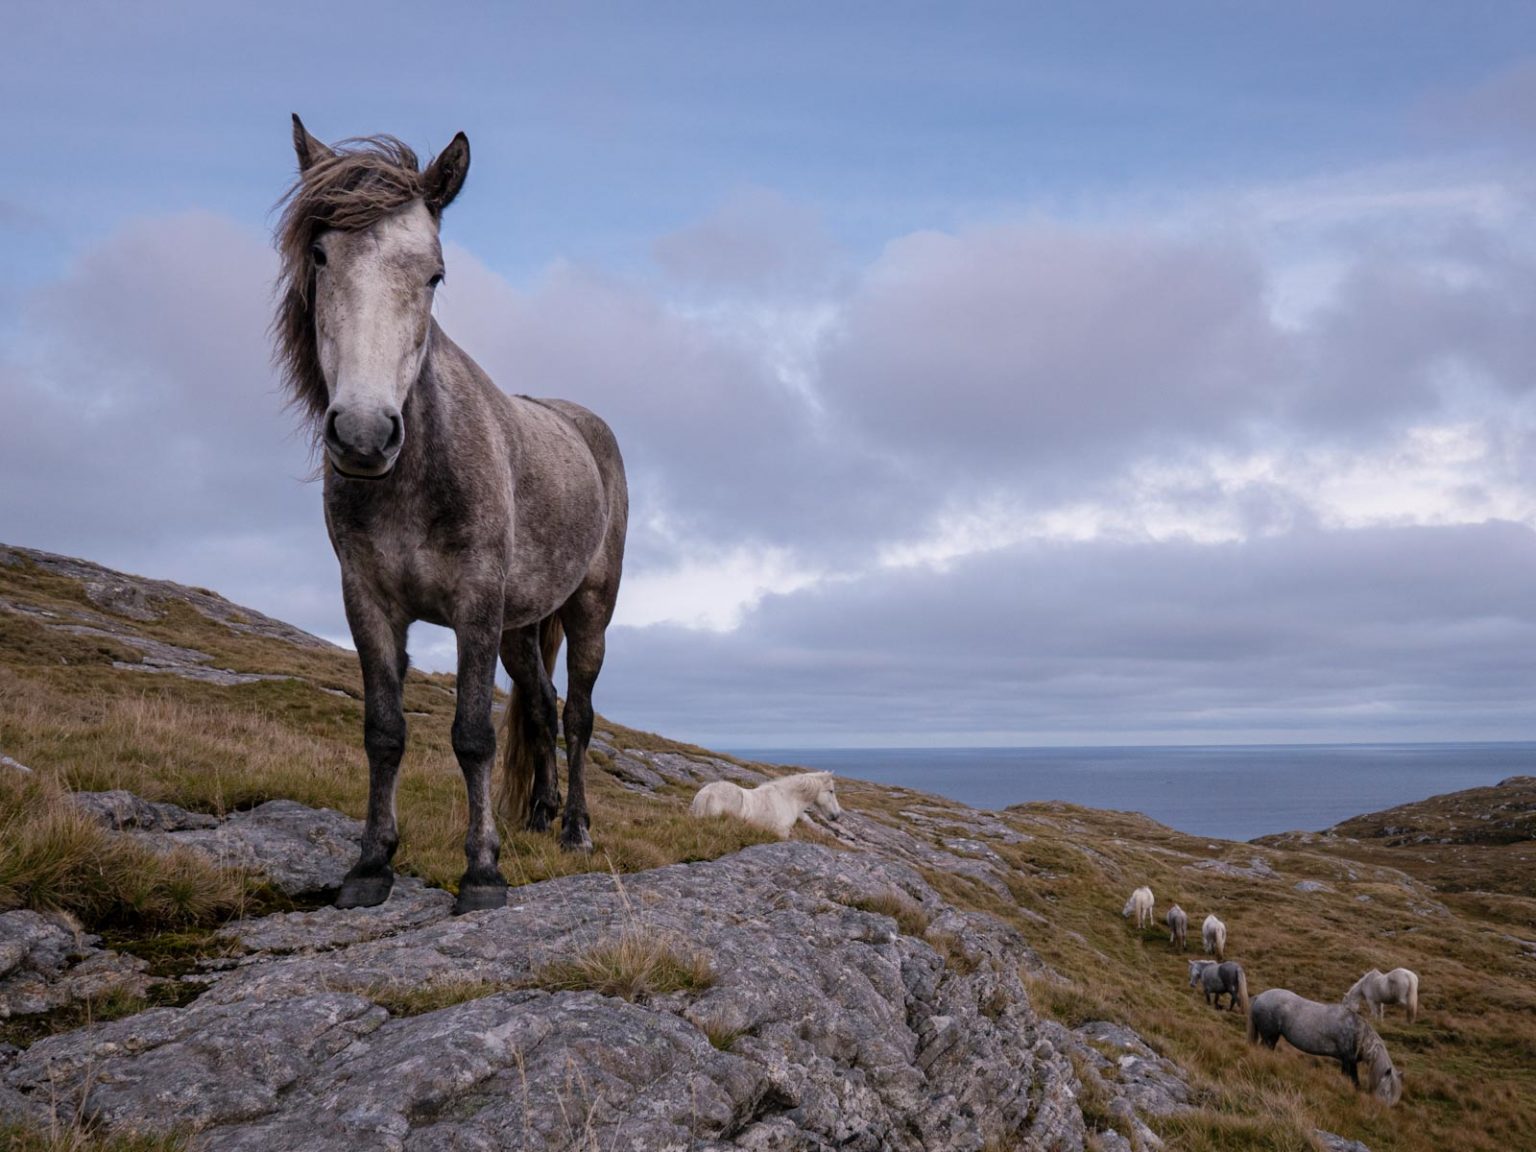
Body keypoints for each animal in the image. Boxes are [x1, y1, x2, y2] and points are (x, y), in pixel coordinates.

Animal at [274, 119, 627, 914]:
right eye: (320, 254)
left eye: (434, 274)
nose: (364, 434)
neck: (418, 475)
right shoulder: (369, 602)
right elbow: (384, 731)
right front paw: (371, 863)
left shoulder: (474, 604)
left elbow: (472, 735)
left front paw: (483, 871)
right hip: (522, 627)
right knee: (539, 705)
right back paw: (538, 815)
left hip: (589, 609)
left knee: (576, 714)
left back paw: (576, 830)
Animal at [1248, 988, 1403, 1105]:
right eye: (1385, 1091)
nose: (1381, 1110)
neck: (1359, 1033)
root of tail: (1260, 996)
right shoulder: (1349, 1060)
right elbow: (1354, 1080)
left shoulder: (1345, 1061)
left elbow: (1345, 1076)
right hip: (1270, 1037)